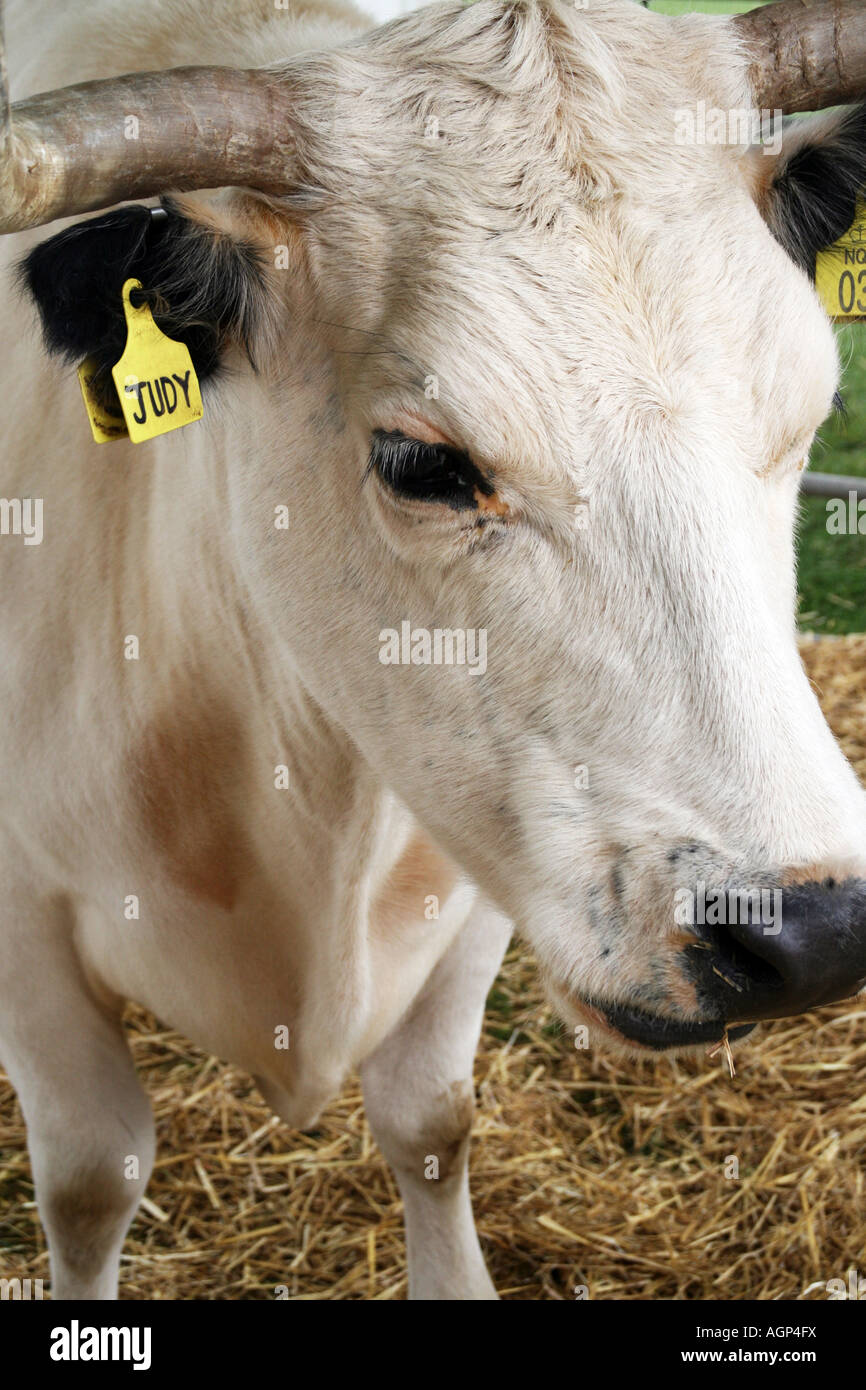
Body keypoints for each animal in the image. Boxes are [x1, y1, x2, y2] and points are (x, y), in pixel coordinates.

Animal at [1, 0, 866, 1302]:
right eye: (422, 462)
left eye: (807, 408)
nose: (809, 932)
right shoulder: (25, 932)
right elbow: (93, 1175)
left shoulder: (482, 872)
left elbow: (431, 1119)